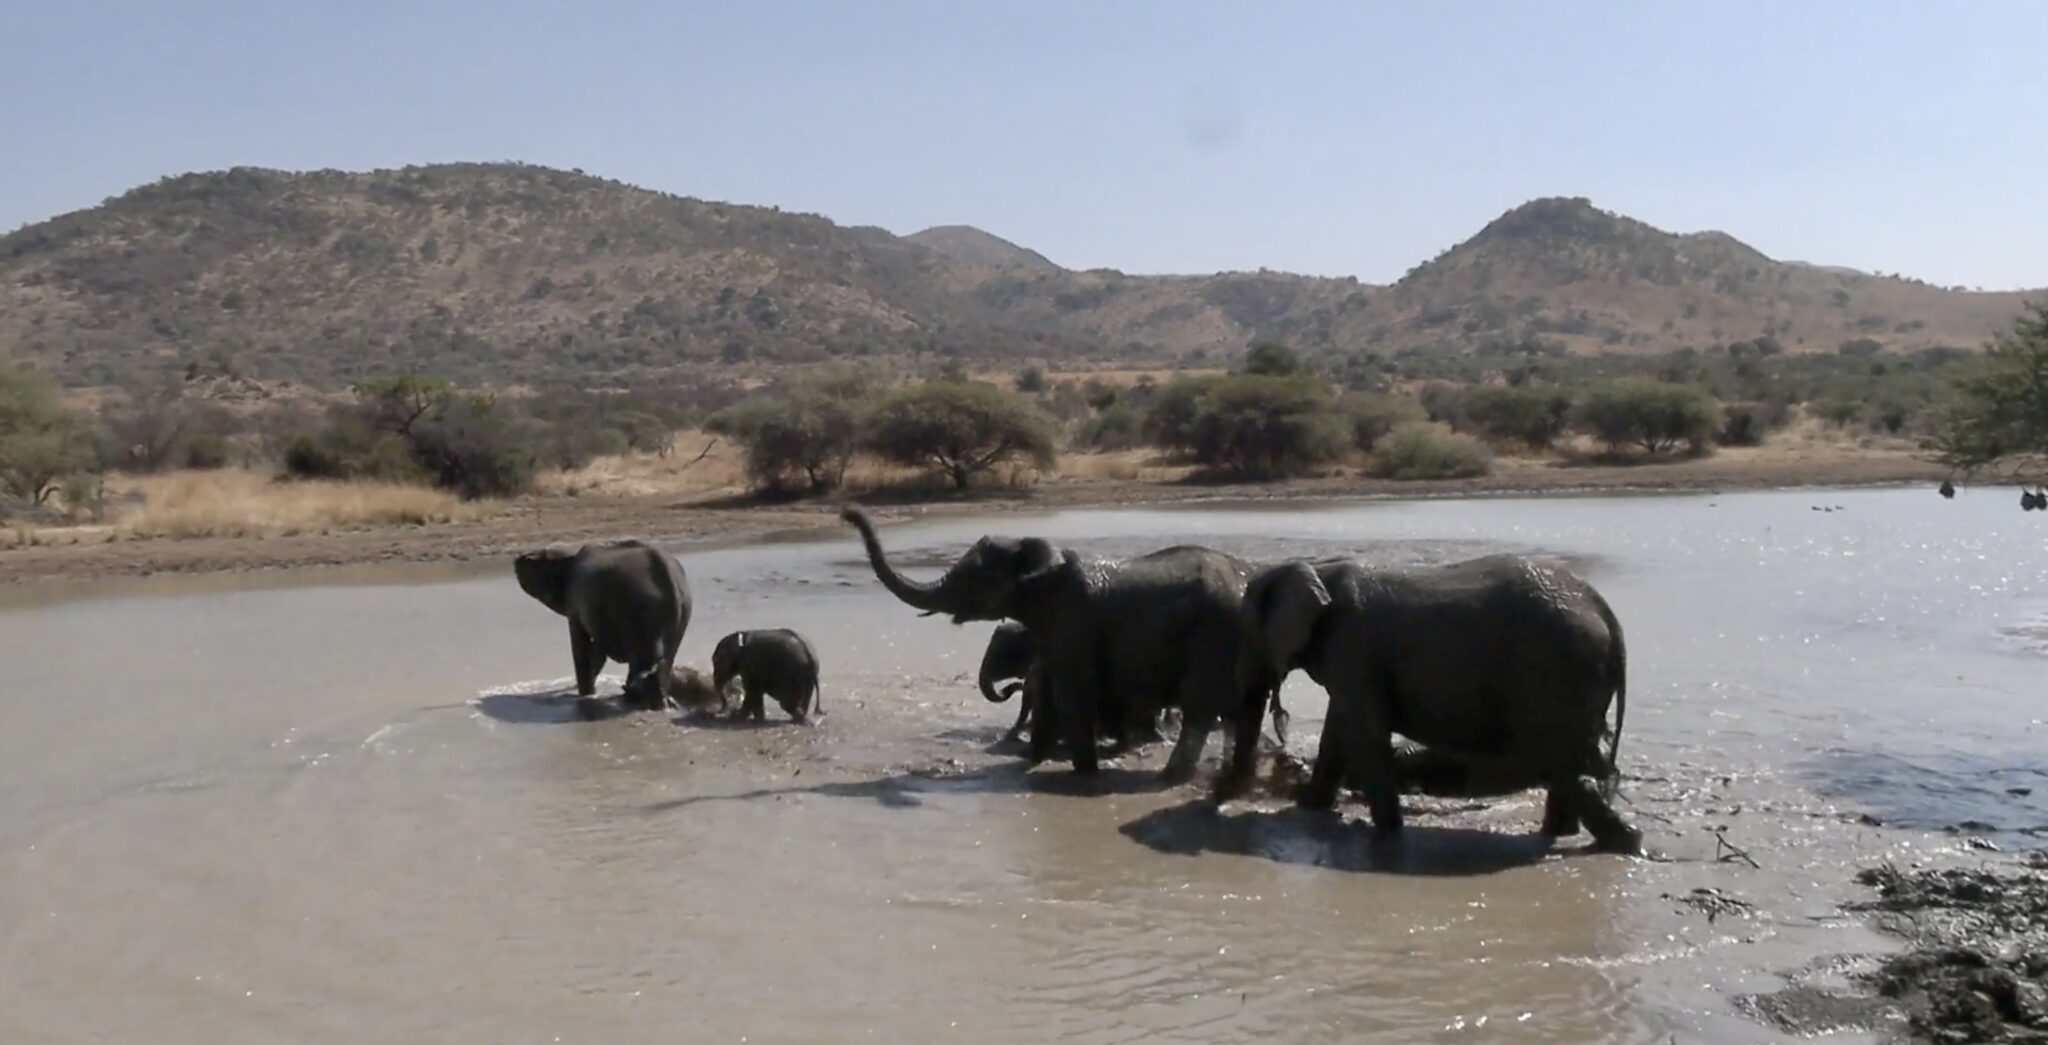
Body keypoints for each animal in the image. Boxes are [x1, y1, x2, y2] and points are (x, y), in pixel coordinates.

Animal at [514, 539, 692, 712]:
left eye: (537, 557)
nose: (518, 558)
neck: (570, 550)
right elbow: (597, 653)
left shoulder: (575, 599)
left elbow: (581, 646)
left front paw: (586, 696)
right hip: (680, 614)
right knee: (663, 659)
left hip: (638, 611)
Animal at [843, 507, 1264, 782]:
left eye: (974, 578)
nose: (848, 513)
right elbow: (1047, 691)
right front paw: (1033, 763)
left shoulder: (1071, 621)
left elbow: (1072, 695)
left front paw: (1084, 775)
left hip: (1213, 634)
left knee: (1199, 707)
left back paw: (1170, 778)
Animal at [1217, 555, 1640, 854]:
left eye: (1245, 633)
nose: (1224, 796)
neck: (1316, 568)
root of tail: (1607, 614)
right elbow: (1339, 732)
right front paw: (1309, 806)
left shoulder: (1353, 647)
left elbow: (1365, 736)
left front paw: (1389, 834)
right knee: (1566, 761)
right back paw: (1562, 834)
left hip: (1556, 672)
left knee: (1560, 759)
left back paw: (1625, 843)